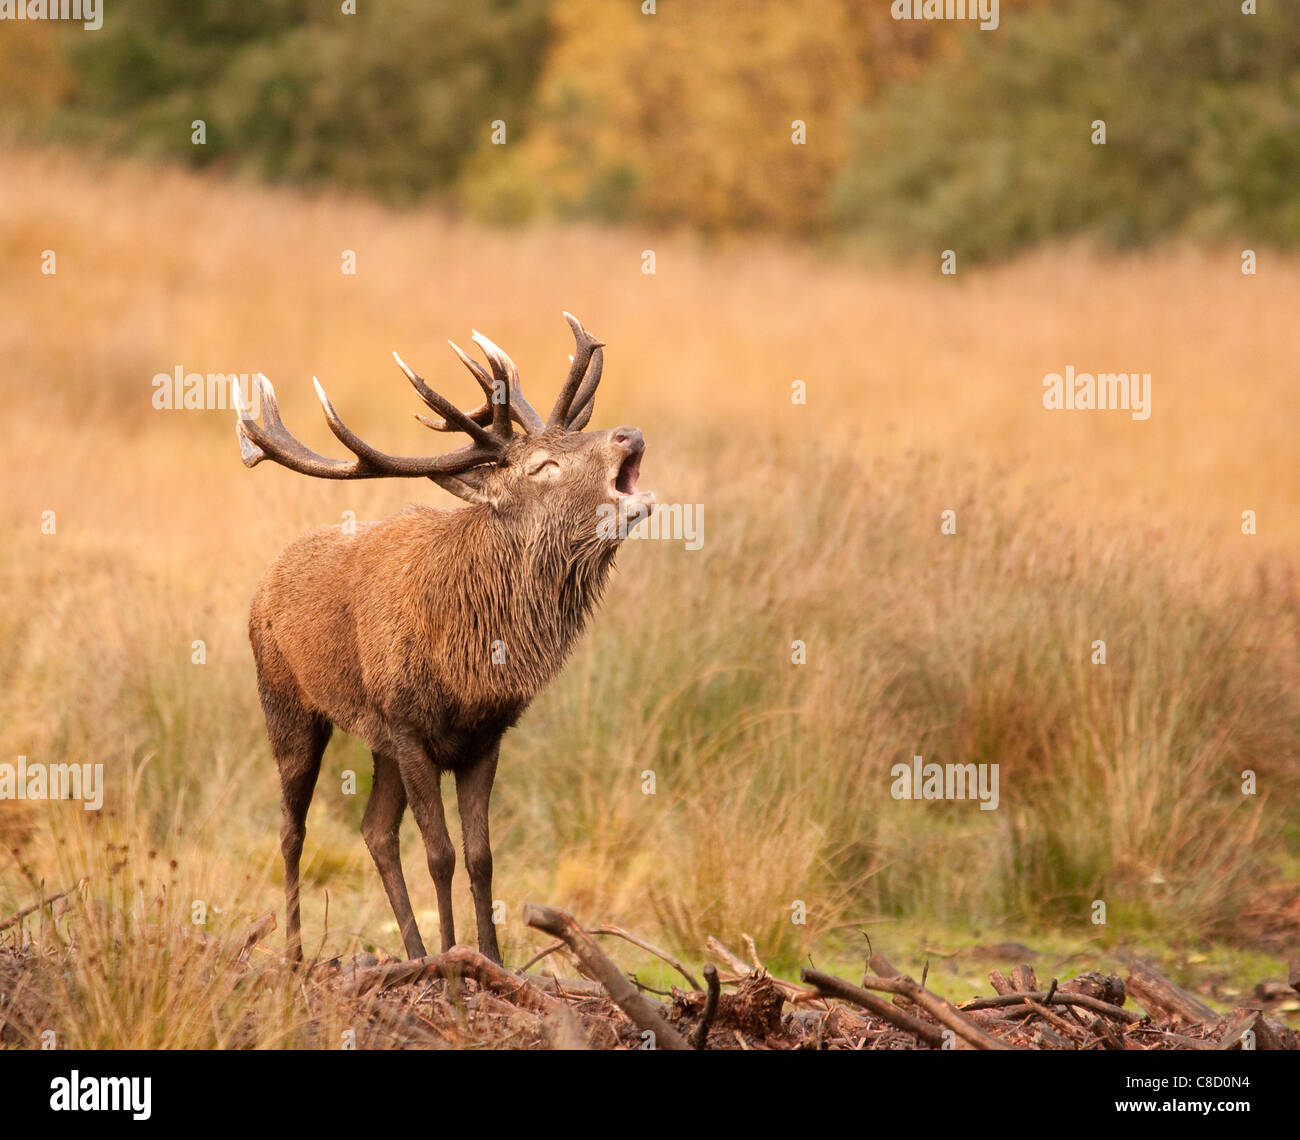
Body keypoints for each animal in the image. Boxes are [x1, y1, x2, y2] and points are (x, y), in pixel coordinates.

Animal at [232, 314, 653, 965]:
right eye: (543, 467)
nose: (629, 435)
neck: (472, 657)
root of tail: (266, 579)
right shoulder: (409, 727)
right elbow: (440, 855)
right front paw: (456, 959)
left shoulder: (484, 736)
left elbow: (481, 856)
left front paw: (491, 960)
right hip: (287, 702)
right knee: (291, 828)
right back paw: (298, 952)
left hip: (377, 739)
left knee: (375, 830)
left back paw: (412, 952)